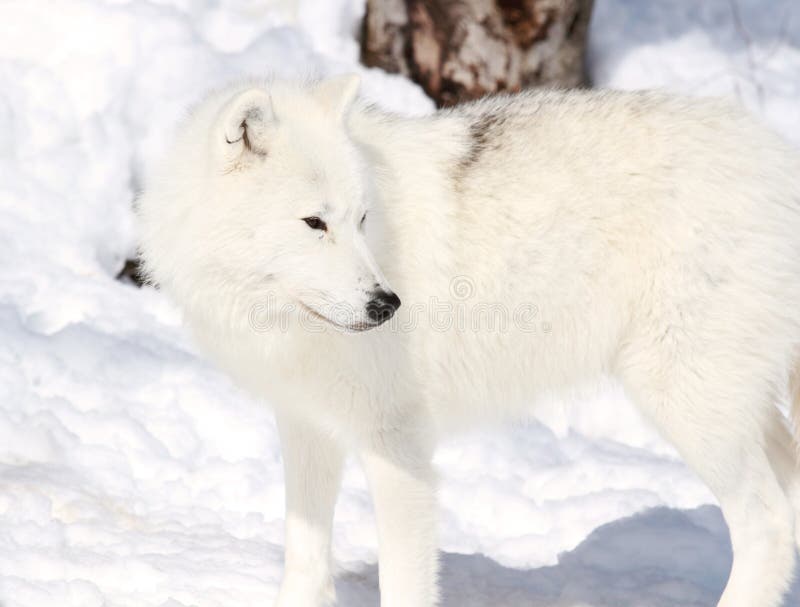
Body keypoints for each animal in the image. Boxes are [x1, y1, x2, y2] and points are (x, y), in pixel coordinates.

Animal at [137, 75, 800, 607]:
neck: (286, 325)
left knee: (767, 527)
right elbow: (304, 563)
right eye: (314, 223)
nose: (386, 305)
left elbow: (404, 584)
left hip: (689, 404)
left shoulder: (396, 444)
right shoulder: (306, 424)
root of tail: (777, 157)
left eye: (359, 219)